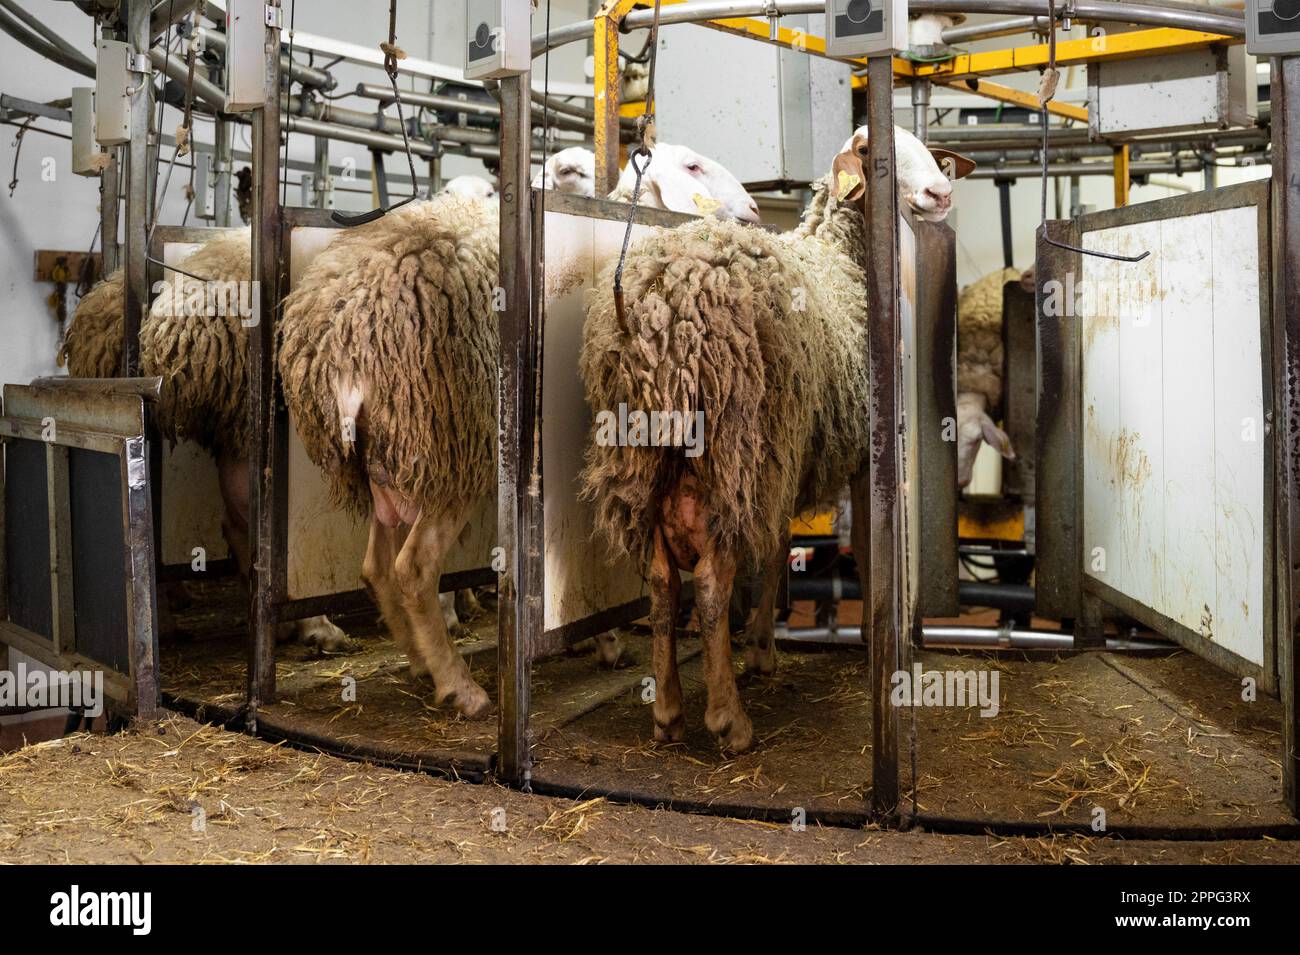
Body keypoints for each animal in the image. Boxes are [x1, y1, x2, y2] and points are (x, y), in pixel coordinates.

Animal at [579, 126, 975, 752]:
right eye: (876, 151)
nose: (940, 193)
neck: (840, 261)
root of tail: (666, 295)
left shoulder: (790, 451)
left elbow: (777, 544)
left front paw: (763, 645)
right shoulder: (855, 451)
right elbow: (863, 548)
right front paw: (866, 642)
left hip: (644, 453)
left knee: (664, 582)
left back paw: (668, 713)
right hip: (735, 440)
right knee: (710, 582)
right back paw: (728, 721)